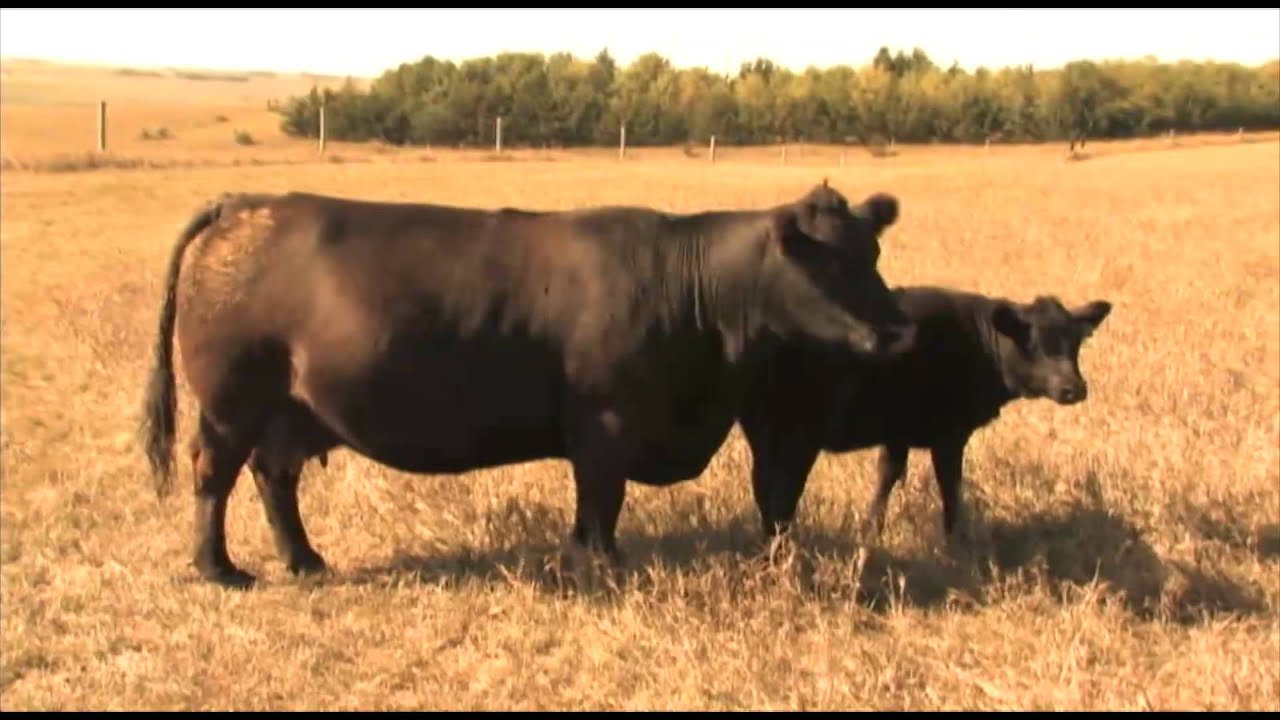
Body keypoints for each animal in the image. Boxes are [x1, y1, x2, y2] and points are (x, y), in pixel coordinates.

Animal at [139, 182, 917, 588]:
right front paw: (600, 567)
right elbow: (600, 502)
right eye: (826, 263)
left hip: (291, 411)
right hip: (230, 404)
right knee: (214, 476)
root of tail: (248, 204)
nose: (899, 331)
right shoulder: (604, 427)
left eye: (873, 253)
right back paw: (219, 569)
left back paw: (304, 561)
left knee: (274, 477)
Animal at [739, 285, 1112, 546]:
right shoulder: (949, 436)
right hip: (797, 436)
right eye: (1032, 343)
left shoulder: (896, 431)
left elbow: (887, 475)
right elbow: (950, 488)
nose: (1074, 388)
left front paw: (871, 530)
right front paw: (956, 541)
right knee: (781, 492)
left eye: (1076, 343)